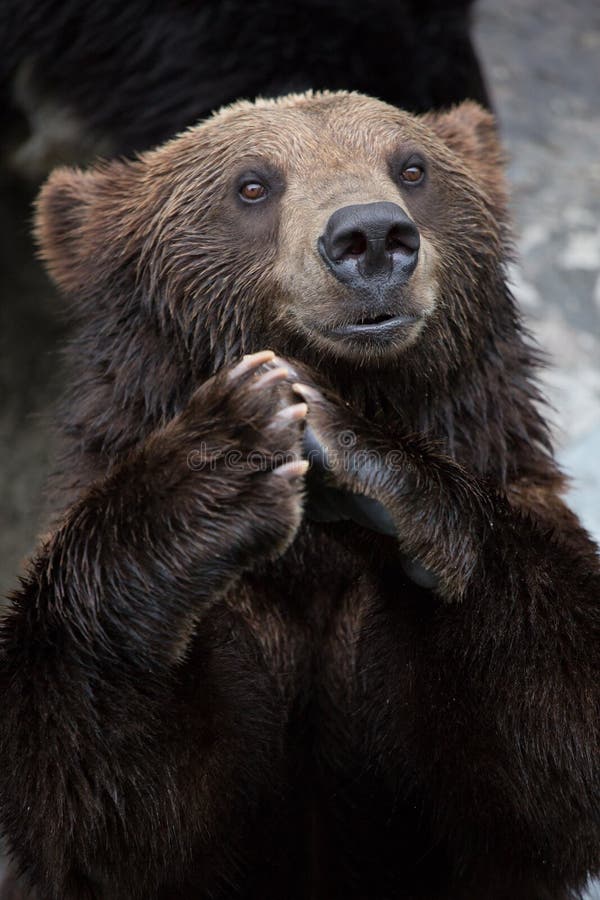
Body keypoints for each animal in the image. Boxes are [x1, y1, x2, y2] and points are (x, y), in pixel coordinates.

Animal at [0, 91, 598, 900]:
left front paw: (352, 448)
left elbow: (551, 740)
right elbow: (115, 808)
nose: (371, 235)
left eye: (412, 167)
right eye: (253, 185)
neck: (312, 561)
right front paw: (230, 451)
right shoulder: (228, 614)